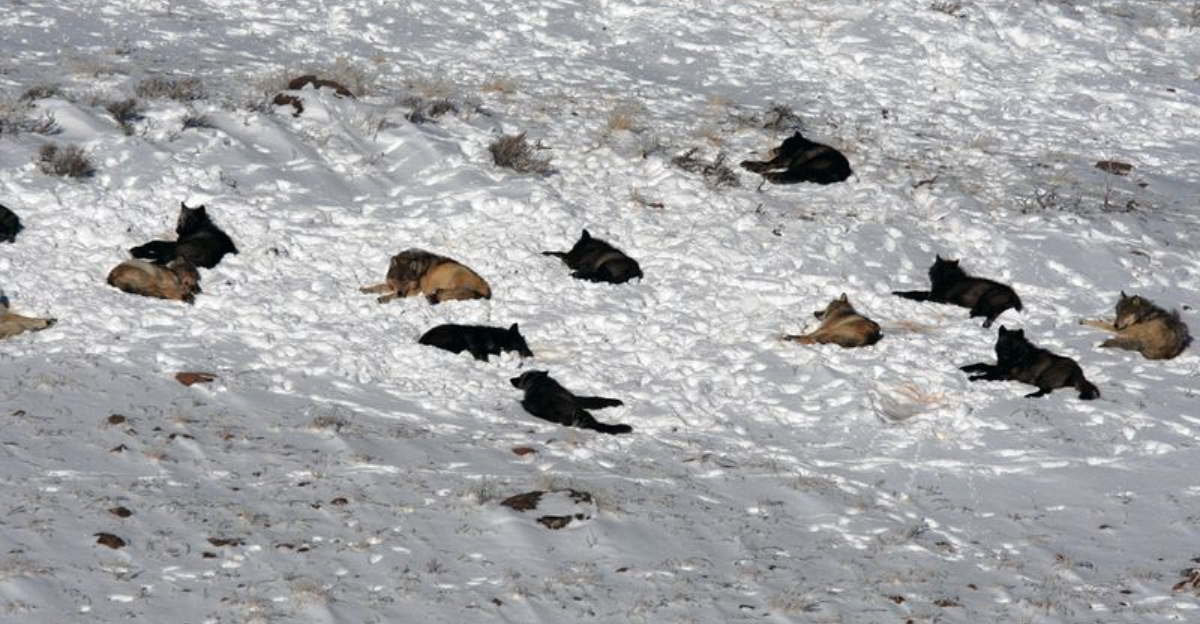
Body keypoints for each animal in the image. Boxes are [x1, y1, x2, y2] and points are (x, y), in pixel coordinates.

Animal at [360, 249, 491, 304]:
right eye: (397, 280)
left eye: (406, 280)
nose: (401, 294)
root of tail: (487, 289)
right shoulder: (392, 286)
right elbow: (377, 286)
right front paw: (365, 290)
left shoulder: (413, 291)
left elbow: (391, 295)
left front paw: (383, 298)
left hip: (455, 272)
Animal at [893, 255, 1022, 328]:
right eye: (938, 269)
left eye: (946, 272)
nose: (937, 276)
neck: (950, 280)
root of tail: (1014, 296)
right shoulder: (932, 294)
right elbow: (916, 291)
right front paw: (897, 292)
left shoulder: (937, 298)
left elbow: (917, 295)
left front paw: (899, 294)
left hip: (987, 297)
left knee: (987, 313)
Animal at [961, 326, 1099, 400]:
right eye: (1003, 344)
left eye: (1013, 346)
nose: (1005, 356)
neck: (1019, 357)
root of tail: (1079, 370)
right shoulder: (1000, 368)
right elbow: (981, 364)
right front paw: (965, 368)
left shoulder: (1005, 375)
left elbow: (988, 375)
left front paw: (974, 377)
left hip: (1044, 378)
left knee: (1045, 391)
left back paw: (1029, 395)